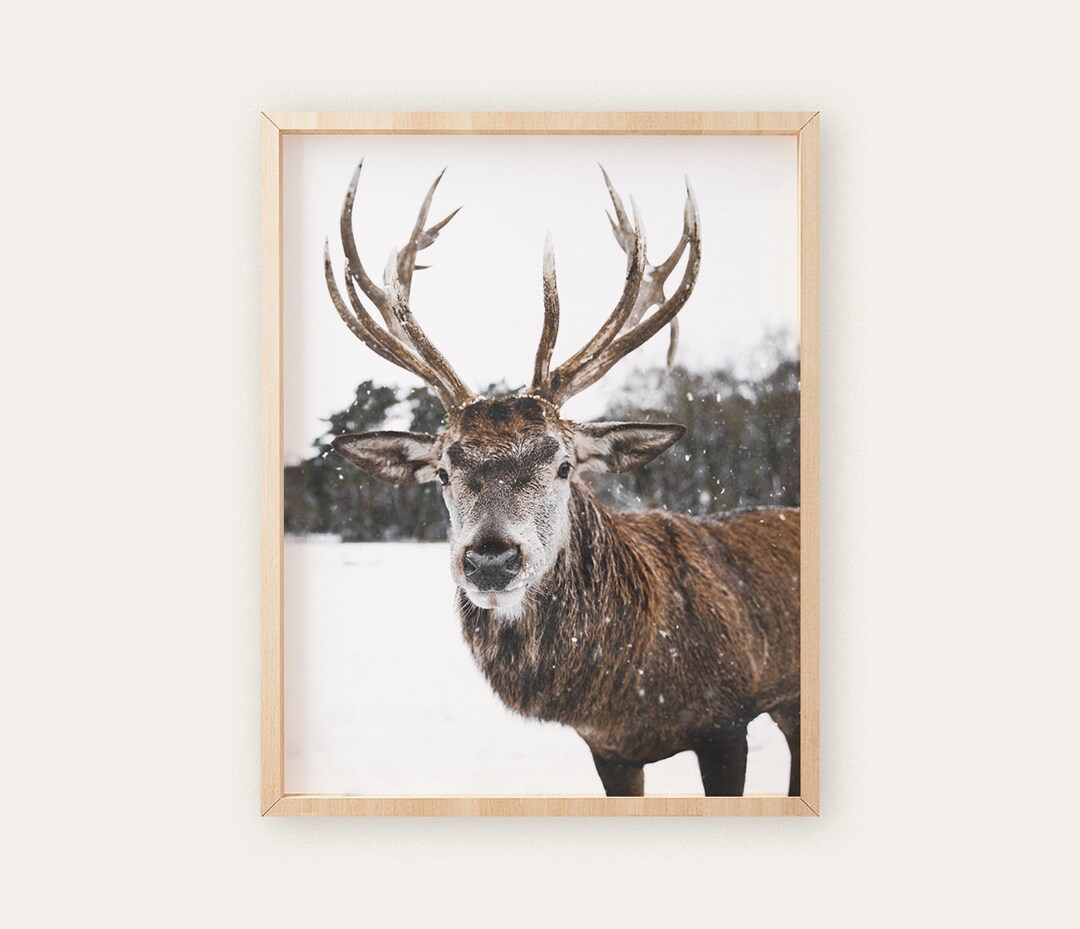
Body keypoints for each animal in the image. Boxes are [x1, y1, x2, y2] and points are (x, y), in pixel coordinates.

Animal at [322, 162, 801, 797]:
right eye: (444, 472)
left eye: (563, 464)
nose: (491, 559)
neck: (629, 688)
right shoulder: (609, 751)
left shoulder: (727, 719)